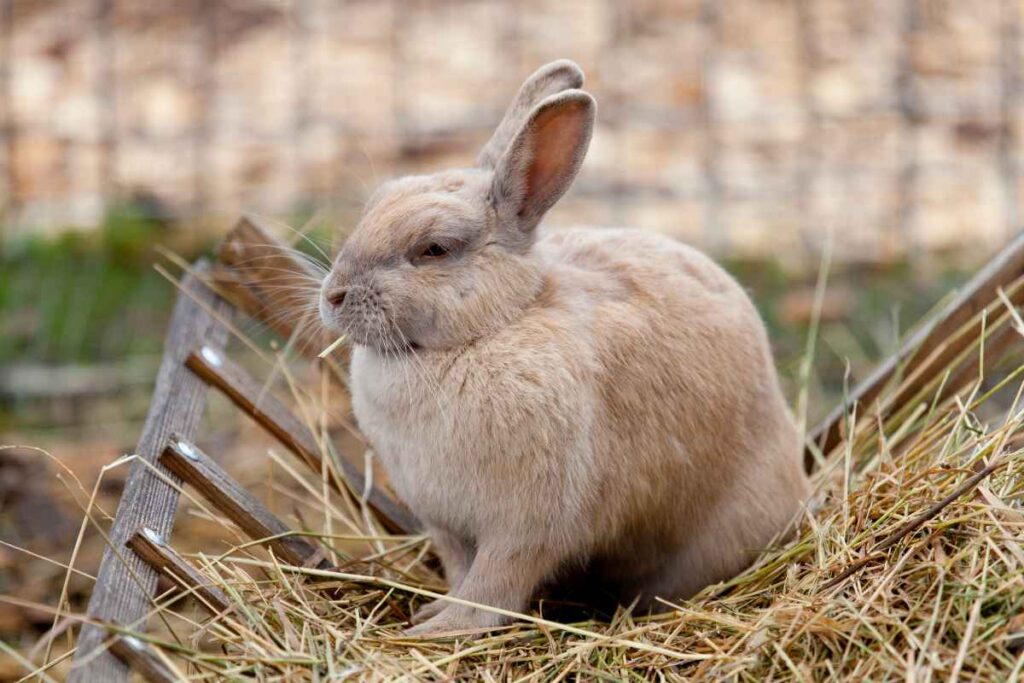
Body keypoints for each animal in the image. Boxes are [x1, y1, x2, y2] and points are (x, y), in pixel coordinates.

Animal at [319, 59, 810, 636]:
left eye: (434, 249)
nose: (332, 295)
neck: (490, 328)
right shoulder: (446, 526)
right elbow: (461, 572)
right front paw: (433, 612)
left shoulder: (525, 527)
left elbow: (492, 586)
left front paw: (443, 629)